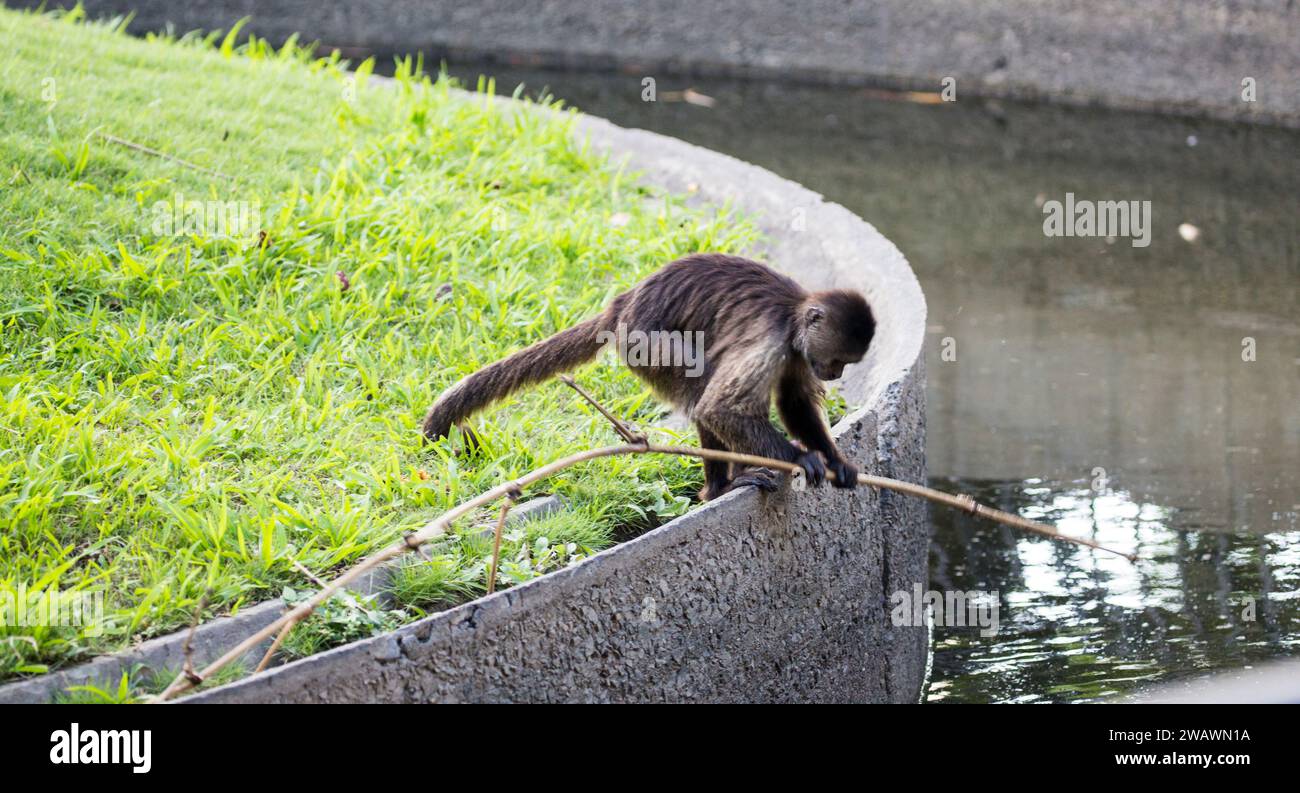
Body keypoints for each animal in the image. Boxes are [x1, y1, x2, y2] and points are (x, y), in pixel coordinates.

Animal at [421, 253, 875, 501]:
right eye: (839, 360)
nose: (834, 373)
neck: (796, 315)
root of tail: (622, 304)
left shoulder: (798, 354)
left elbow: (795, 403)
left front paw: (834, 461)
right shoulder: (772, 339)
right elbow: (720, 408)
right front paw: (801, 459)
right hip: (641, 342)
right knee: (701, 384)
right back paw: (720, 488)